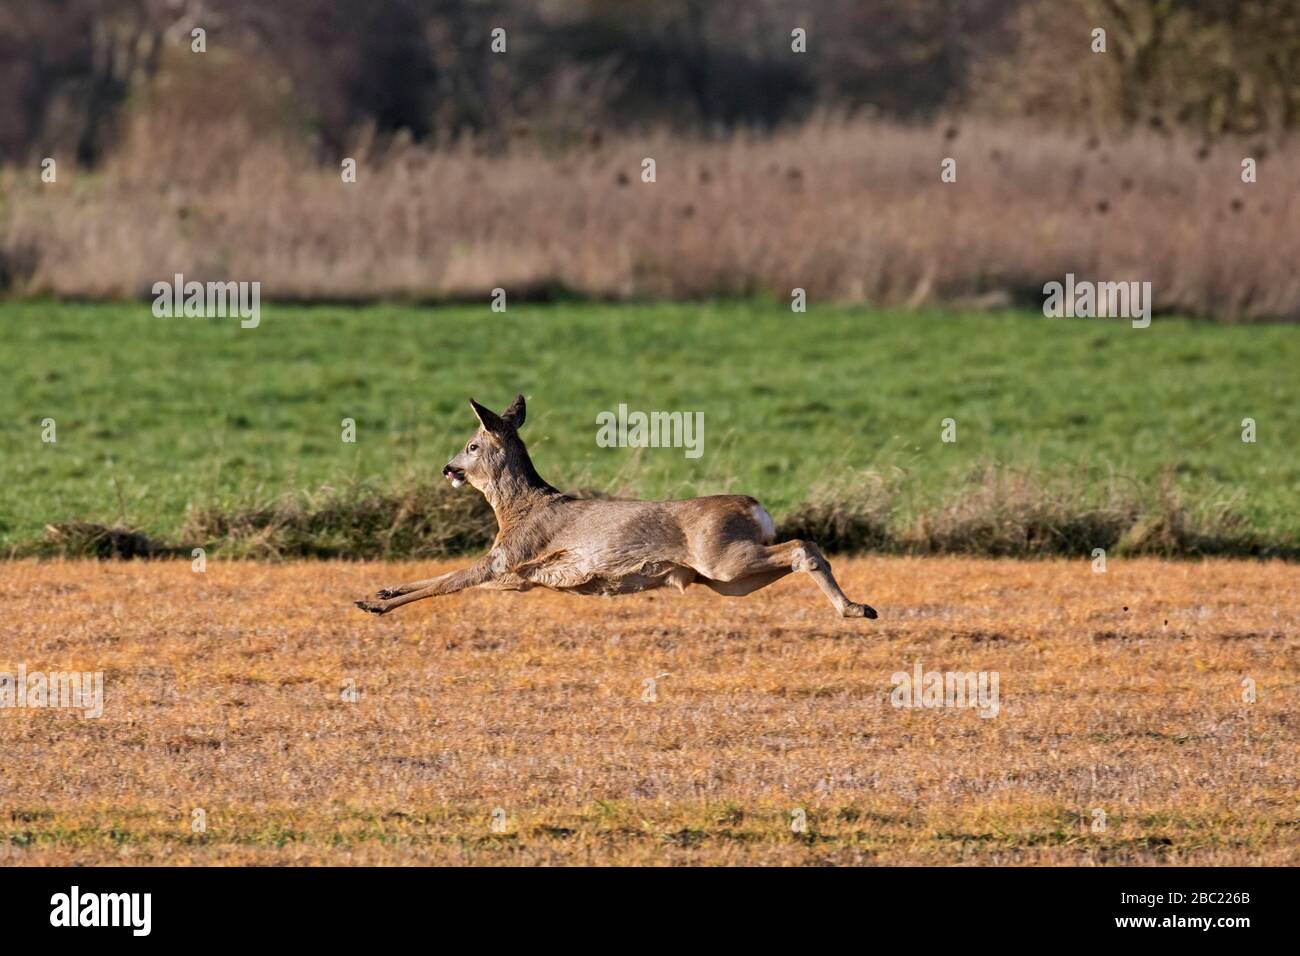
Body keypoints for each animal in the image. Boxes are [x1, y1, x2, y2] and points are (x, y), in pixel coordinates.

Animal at [354, 395, 877, 620]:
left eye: (471, 445)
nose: (447, 468)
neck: (517, 509)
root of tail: (755, 506)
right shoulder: (513, 573)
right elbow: (440, 576)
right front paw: (381, 590)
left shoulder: (509, 560)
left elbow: (446, 583)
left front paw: (376, 604)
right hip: (729, 580)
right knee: (795, 553)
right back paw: (856, 607)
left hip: (722, 557)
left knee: (803, 546)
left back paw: (856, 608)